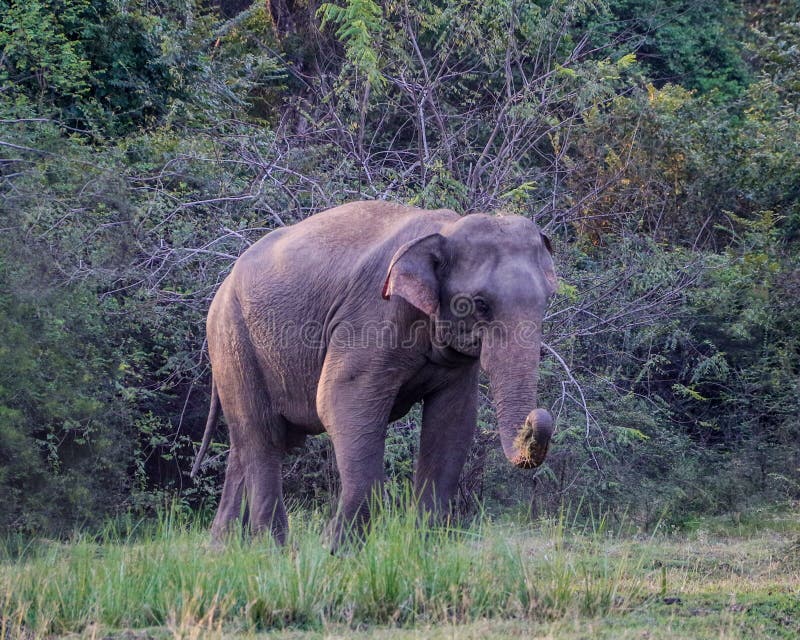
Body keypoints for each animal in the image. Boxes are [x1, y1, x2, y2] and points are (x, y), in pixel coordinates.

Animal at [190, 200, 557, 549]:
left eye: (546, 301)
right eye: (480, 304)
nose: (536, 417)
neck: (446, 228)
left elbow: (453, 420)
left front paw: (420, 550)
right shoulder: (374, 315)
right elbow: (341, 401)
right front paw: (337, 551)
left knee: (249, 443)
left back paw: (224, 551)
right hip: (233, 340)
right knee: (261, 435)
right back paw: (275, 552)